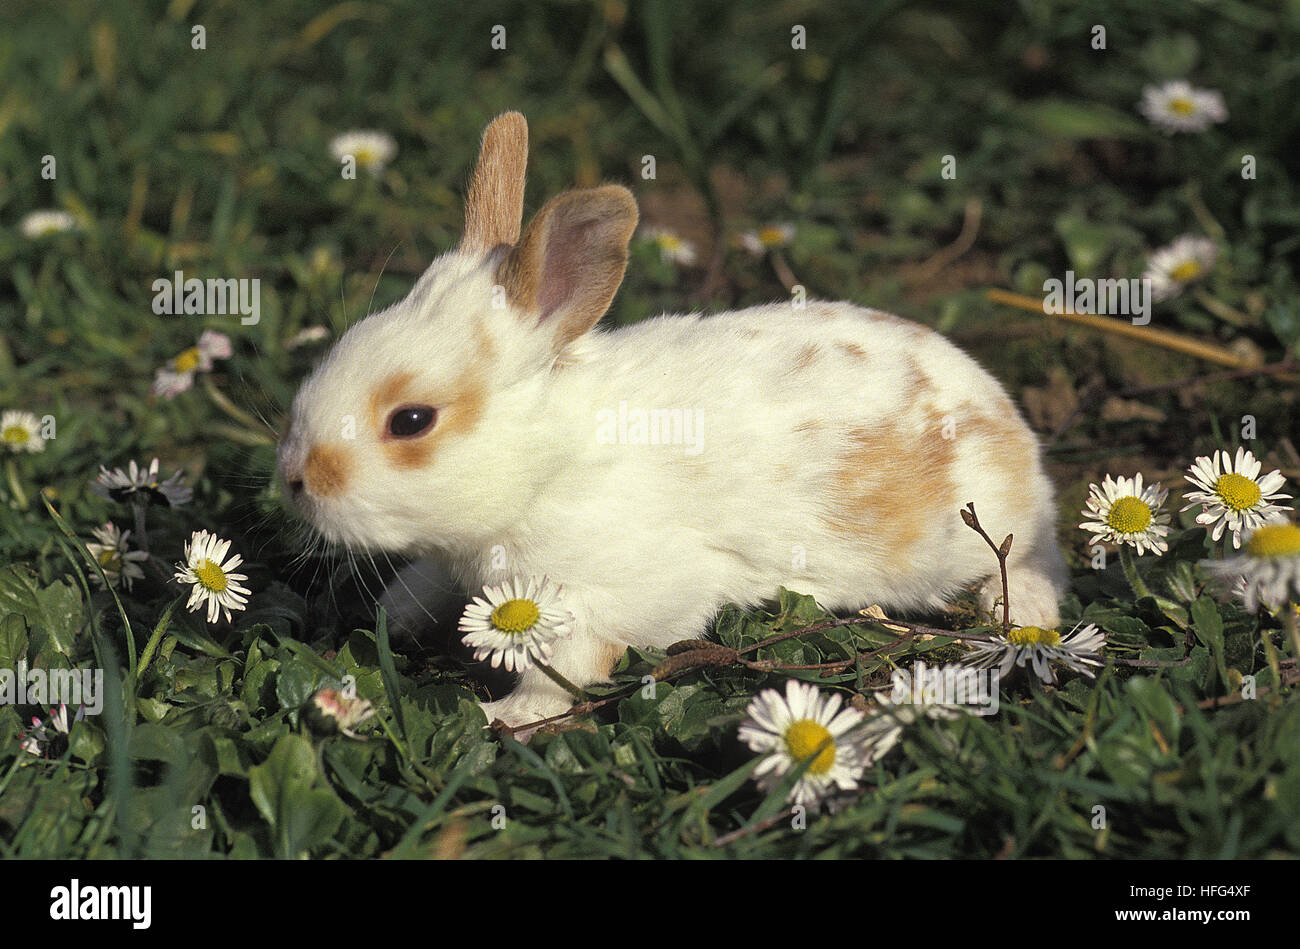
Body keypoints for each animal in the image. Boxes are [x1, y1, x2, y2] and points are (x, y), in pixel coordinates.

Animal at [276, 111, 1069, 731]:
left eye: (411, 420)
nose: (294, 479)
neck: (548, 462)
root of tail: (1014, 432)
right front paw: (392, 615)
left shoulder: (603, 599)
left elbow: (565, 669)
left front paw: (502, 716)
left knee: (1031, 569)